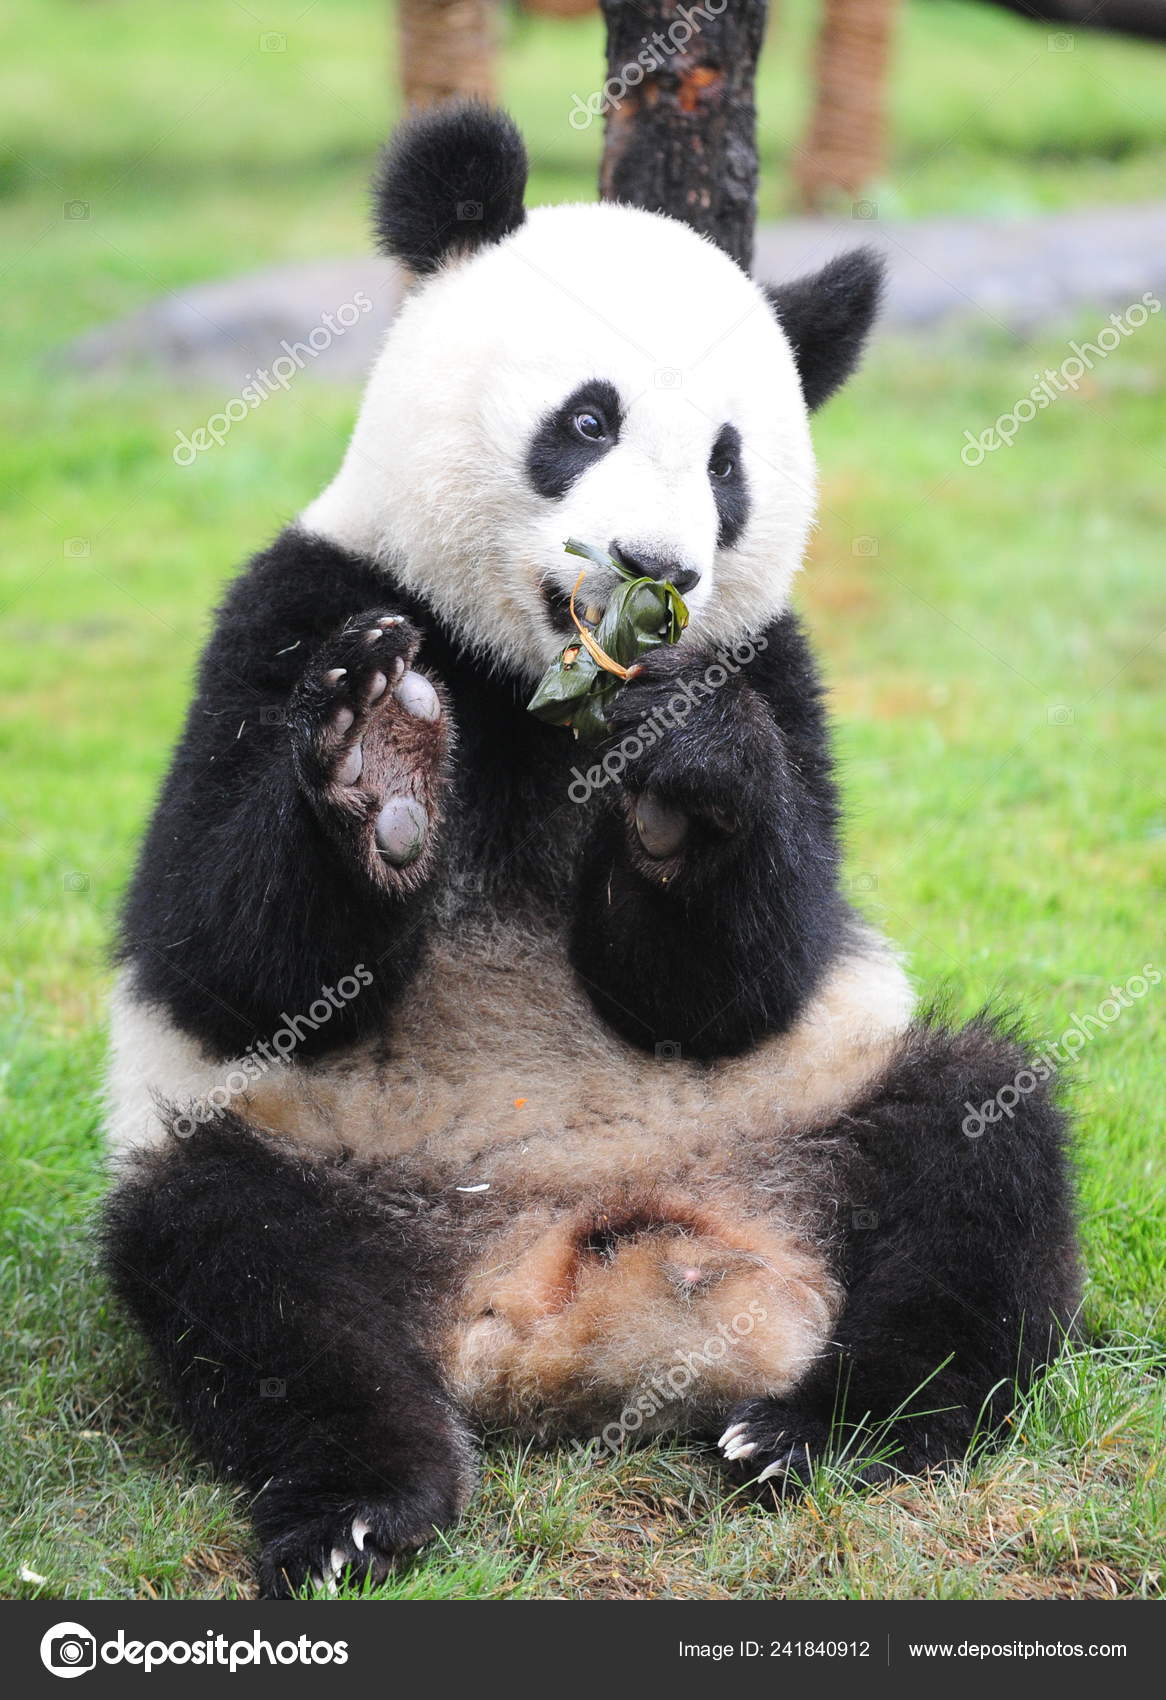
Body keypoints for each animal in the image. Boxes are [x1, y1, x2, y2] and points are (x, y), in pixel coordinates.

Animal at [101, 103, 1079, 1599]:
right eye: (585, 417)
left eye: (728, 463)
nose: (652, 569)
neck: (533, 682)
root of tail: (588, 1300)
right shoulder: (301, 606)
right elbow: (218, 954)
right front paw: (378, 766)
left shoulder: (774, 668)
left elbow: (743, 978)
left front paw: (683, 782)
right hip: (323, 1164)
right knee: (238, 1265)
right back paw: (365, 1504)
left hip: (807, 1113)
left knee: (983, 1141)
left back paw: (817, 1429)